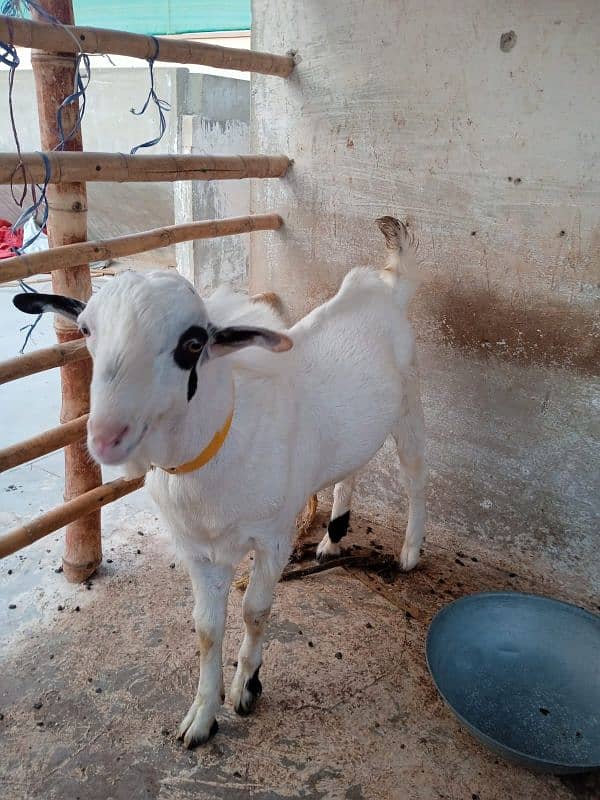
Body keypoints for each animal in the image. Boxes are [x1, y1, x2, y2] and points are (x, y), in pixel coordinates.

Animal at [14, 216, 426, 748]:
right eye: (85, 330)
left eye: (192, 344)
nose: (106, 437)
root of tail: (384, 282)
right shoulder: (197, 548)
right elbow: (207, 628)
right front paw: (202, 717)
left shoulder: (272, 537)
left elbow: (255, 610)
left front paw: (246, 687)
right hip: (356, 427)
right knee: (350, 467)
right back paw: (332, 538)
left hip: (411, 400)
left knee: (415, 476)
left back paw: (410, 551)